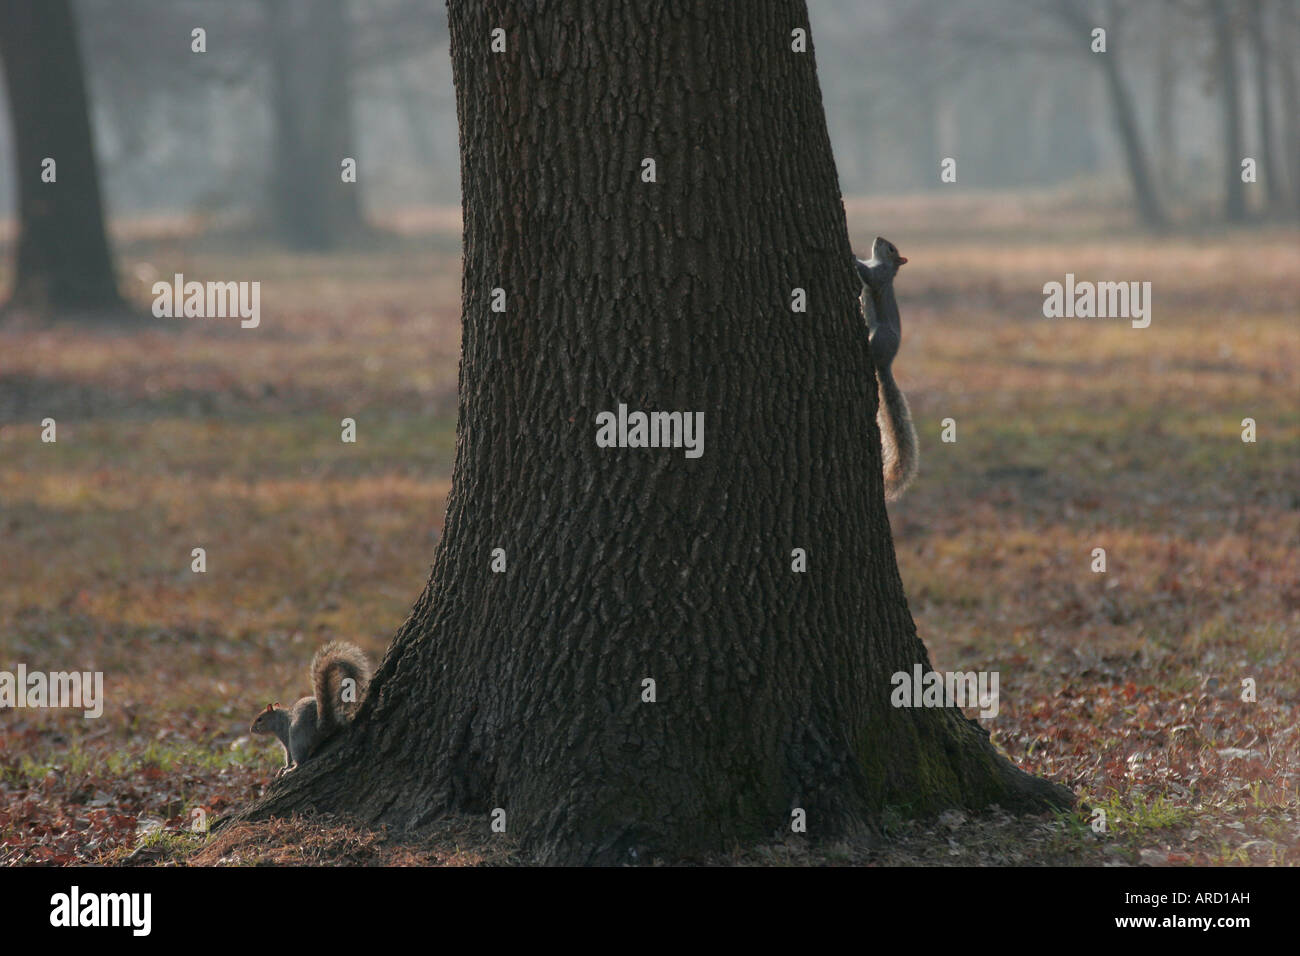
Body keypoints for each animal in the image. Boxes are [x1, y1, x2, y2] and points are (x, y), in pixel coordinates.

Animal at [249, 640, 372, 775]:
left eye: (260, 719)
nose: (251, 729)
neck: (278, 718)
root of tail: (319, 727)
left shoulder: (284, 735)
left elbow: (288, 755)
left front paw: (285, 767)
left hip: (296, 738)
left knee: (300, 759)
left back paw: (292, 769)